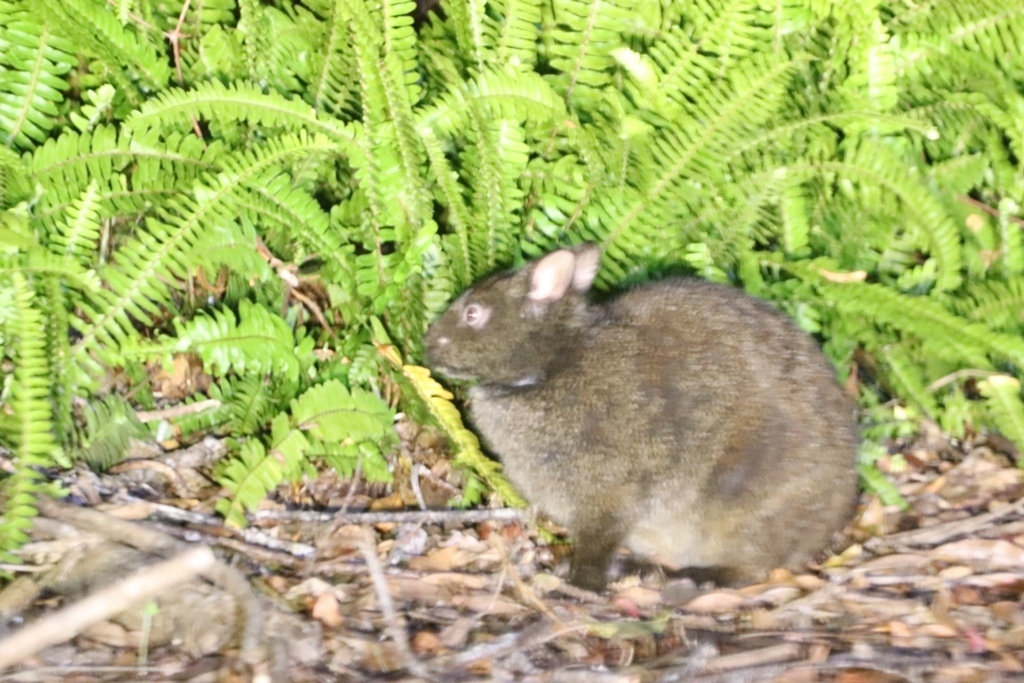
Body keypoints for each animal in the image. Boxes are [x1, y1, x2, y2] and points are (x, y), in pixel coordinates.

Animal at [424, 243, 859, 591]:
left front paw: (581, 583)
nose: (428, 344)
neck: (555, 362)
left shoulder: (607, 497)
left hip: (745, 508)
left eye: (473, 313)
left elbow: (597, 542)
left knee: (751, 568)